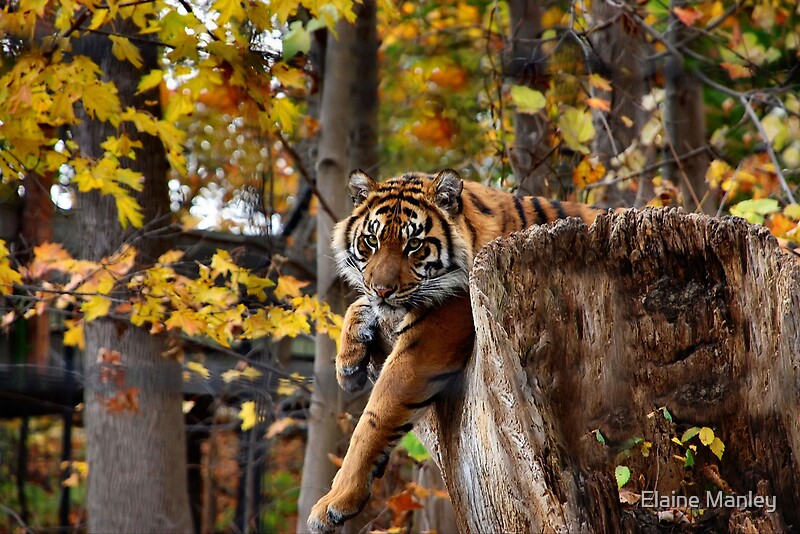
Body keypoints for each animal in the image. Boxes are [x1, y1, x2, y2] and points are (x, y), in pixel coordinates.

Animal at [307, 169, 606, 533]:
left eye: (414, 244)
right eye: (371, 241)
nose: (382, 289)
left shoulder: (431, 337)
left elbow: (374, 418)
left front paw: (333, 503)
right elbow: (359, 304)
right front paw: (348, 362)